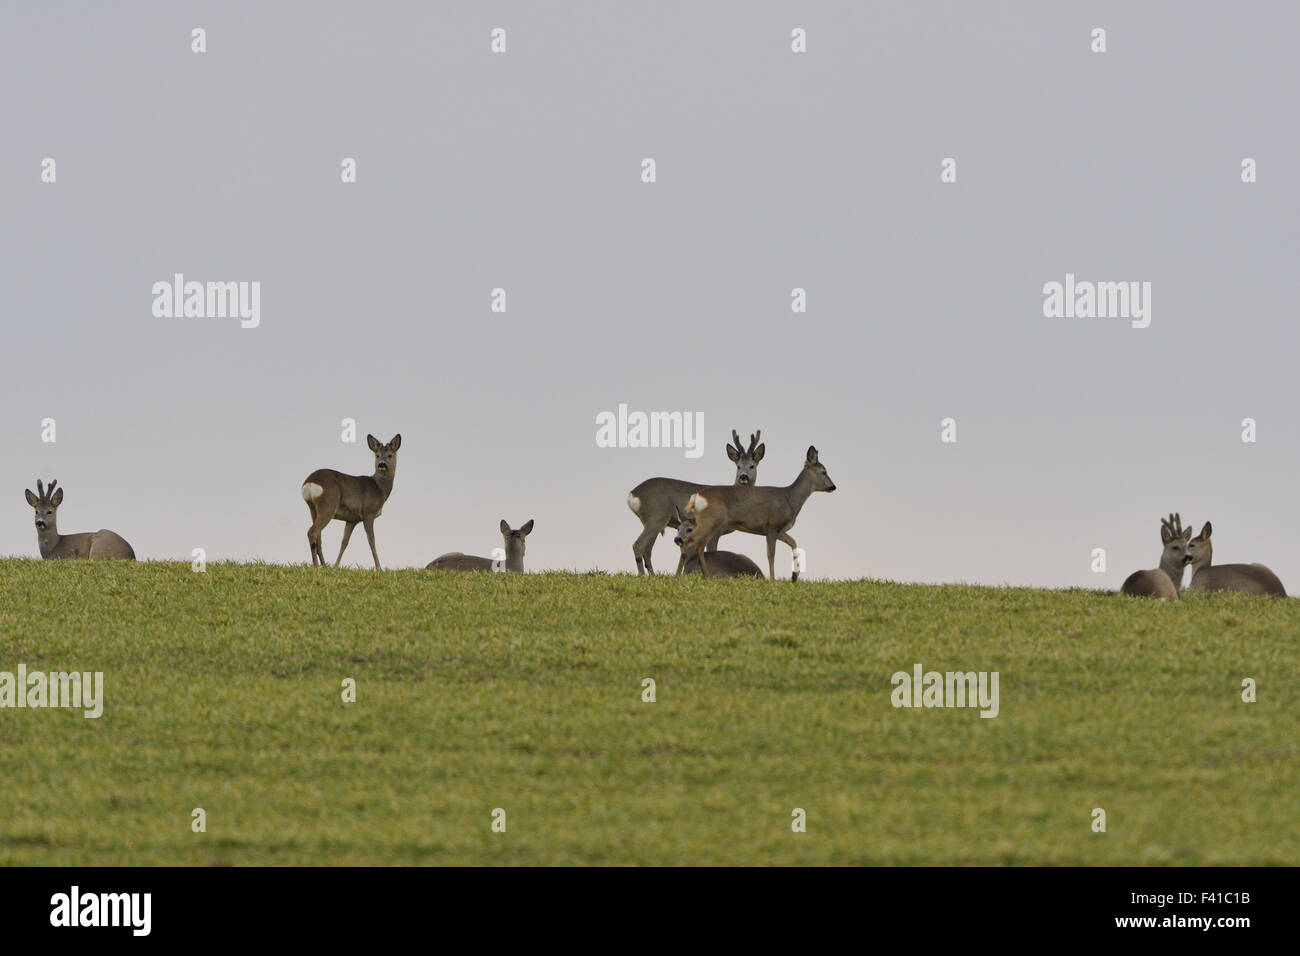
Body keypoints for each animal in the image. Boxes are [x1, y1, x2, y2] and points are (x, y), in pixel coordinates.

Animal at [301, 433, 400, 570]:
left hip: (313, 508)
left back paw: (324, 566)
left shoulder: (351, 519)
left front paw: (336, 566)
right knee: (312, 532)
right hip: (328, 505)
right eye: (377, 455)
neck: (379, 489)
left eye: (390, 455)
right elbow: (371, 541)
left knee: (318, 537)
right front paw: (379, 568)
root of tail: (310, 482)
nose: (382, 464)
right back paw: (316, 566)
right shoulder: (368, 513)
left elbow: (344, 542)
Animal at [626, 429, 763, 575]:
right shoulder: (715, 532)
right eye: (738, 466)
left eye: (752, 466)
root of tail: (632, 494)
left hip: (652, 521)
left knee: (648, 550)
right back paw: (643, 575)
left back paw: (652, 575)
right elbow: (712, 552)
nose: (743, 477)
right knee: (638, 545)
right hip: (656, 517)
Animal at [677, 445, 835, 581]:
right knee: (688, 542)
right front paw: (773, 580)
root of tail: (696, 496)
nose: (833, 486)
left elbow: (793, 542)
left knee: (698, 546)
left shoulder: (779, 530)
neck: (790, 498)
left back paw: (706, 577)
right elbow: (771, 555)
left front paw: (794, 576)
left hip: (709, 524)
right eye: (824, 471)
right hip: (710, 521)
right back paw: (678, 577)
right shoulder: (772, 525)